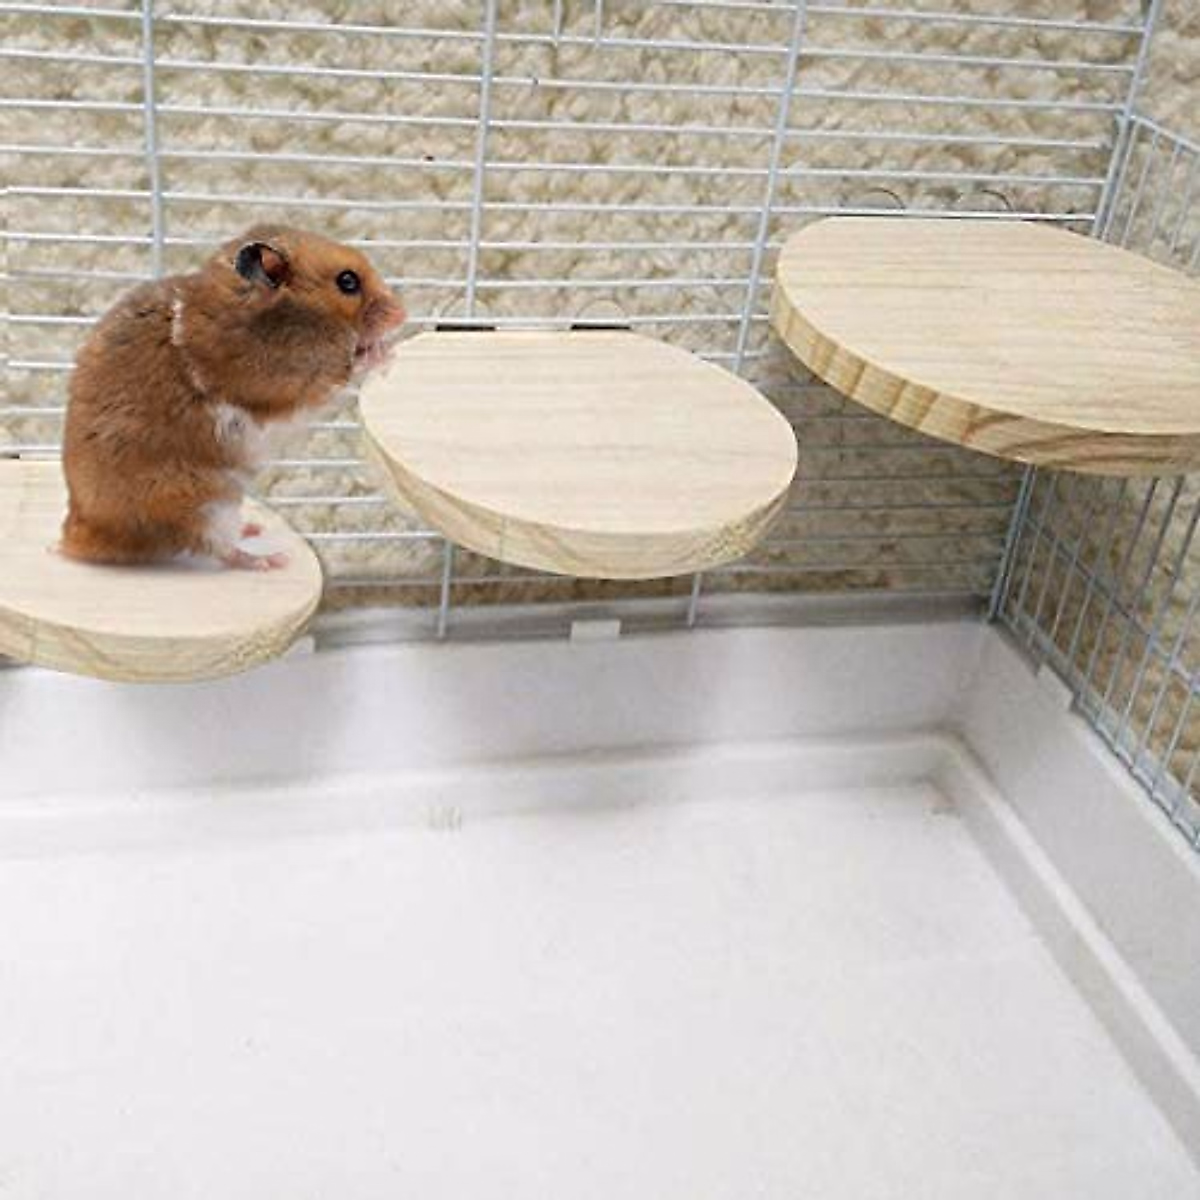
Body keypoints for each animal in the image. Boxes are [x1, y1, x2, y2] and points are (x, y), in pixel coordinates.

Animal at [61, 225, 405, 570]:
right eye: (348, 281)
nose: (402, 314)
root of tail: (76, 537)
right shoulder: (293, 388)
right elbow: (346, 372)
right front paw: (383, 353)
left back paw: (253, 528)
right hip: (201, 504)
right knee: (219, 548)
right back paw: (270, 560)